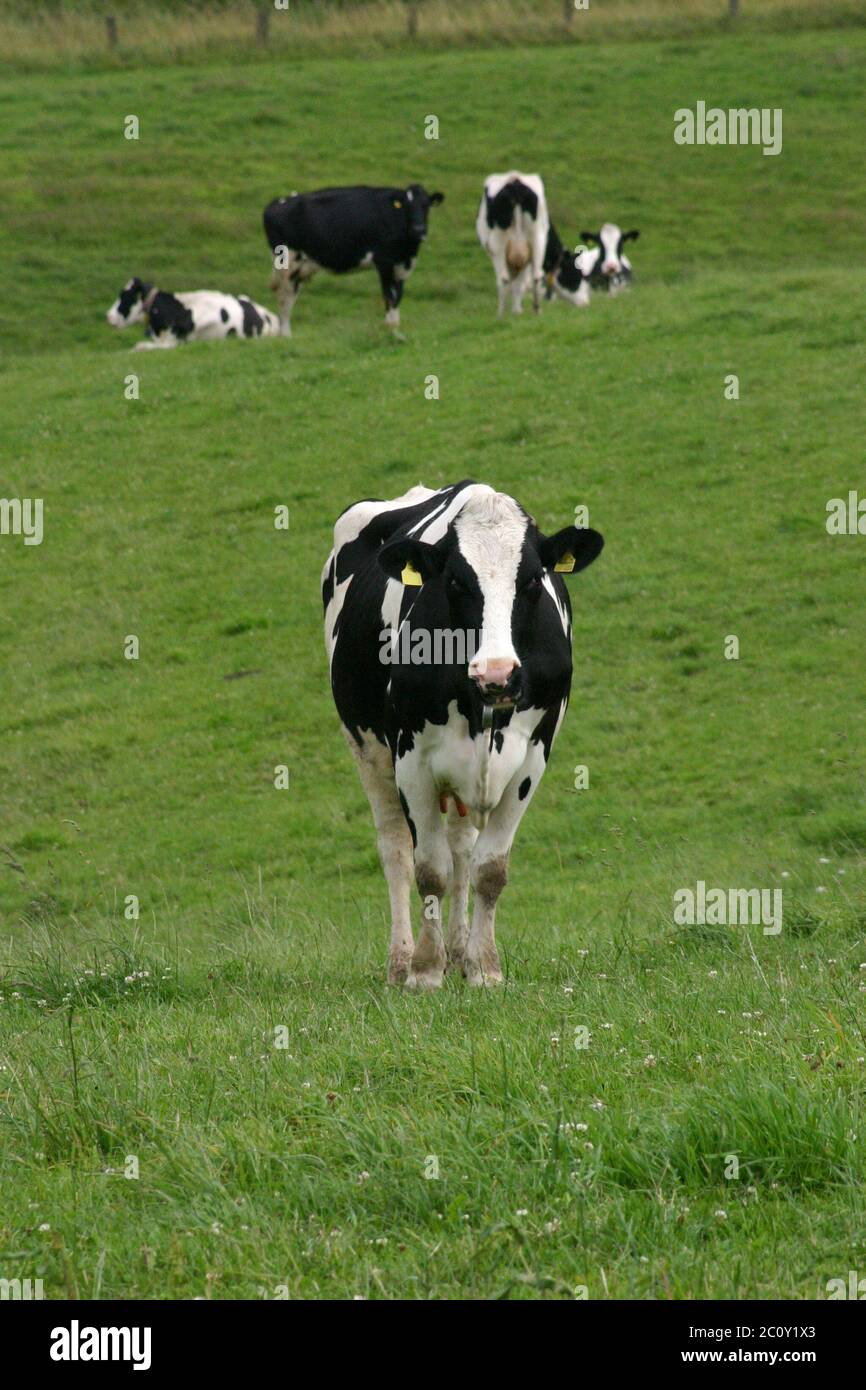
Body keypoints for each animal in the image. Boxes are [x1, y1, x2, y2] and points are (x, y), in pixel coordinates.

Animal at [263, 184, 445, 336]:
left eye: (426, 205)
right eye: (407, 206)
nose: (419, 229)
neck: (408, 250)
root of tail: (276, 203)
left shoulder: (402, 266)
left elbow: (398, 295)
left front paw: (395, 325)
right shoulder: (384, 261)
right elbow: (388, 295)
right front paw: (390, 326)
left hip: (299, 267)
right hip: (288, 263)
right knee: (284, 297)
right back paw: (285, 335)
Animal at [323, 481, 604, 991]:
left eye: (531, 581)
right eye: (455, 582)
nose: (497, 673)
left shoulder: (531, 759)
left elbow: (488, 869)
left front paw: (483, 966)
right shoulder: (411, 760)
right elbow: (428, 870)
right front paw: (425, 971)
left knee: (460, 849)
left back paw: (458, 954)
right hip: (366, 751)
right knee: (396, 849)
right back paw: (401, 961)